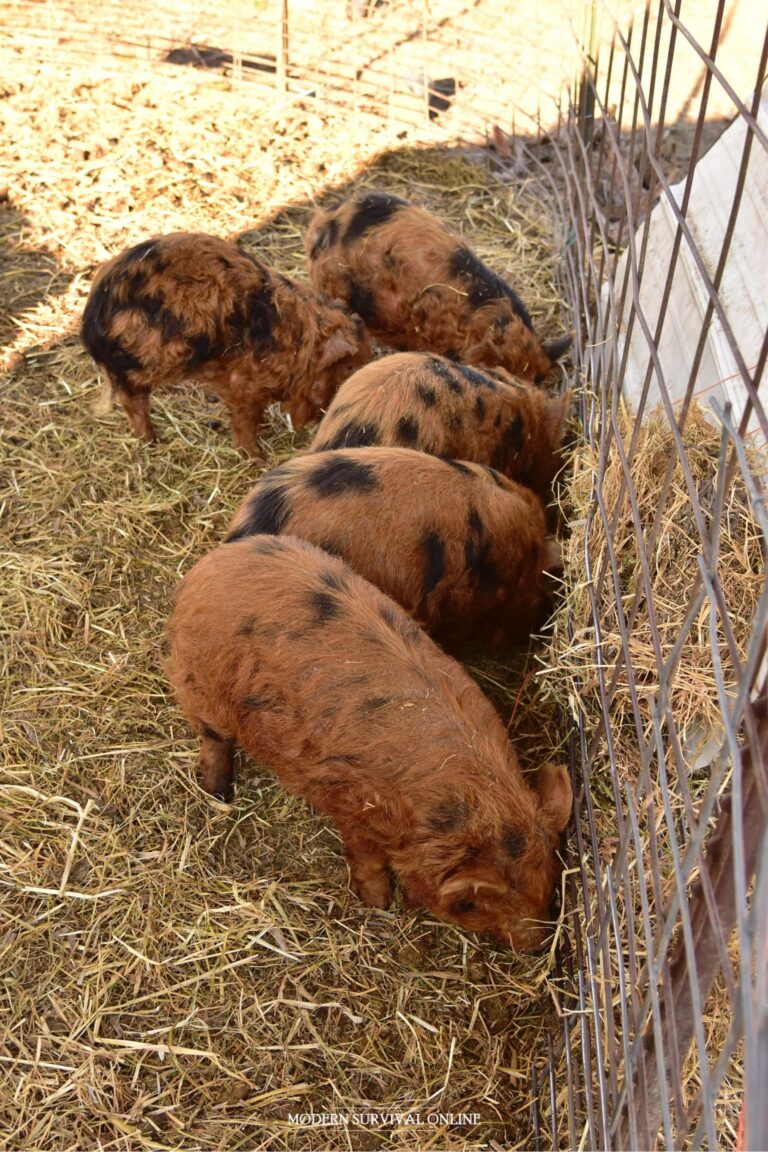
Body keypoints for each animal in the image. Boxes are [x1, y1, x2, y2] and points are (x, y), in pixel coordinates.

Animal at [80, 232, 371, 459]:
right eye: (347, 368)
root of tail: (92, 318)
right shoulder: (244, 387)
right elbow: (245, 424)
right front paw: (257, 459)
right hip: (139, 366)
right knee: (133, 401)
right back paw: (153, 441)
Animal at [165, 534, 573, 948]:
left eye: (551, 881)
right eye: (468, 904)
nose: (539, 945)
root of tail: (210, 564)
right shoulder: (352, 808)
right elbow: (367, 858)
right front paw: (378, 903)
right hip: (199, 684)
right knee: (212, 737)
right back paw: (219, 792)